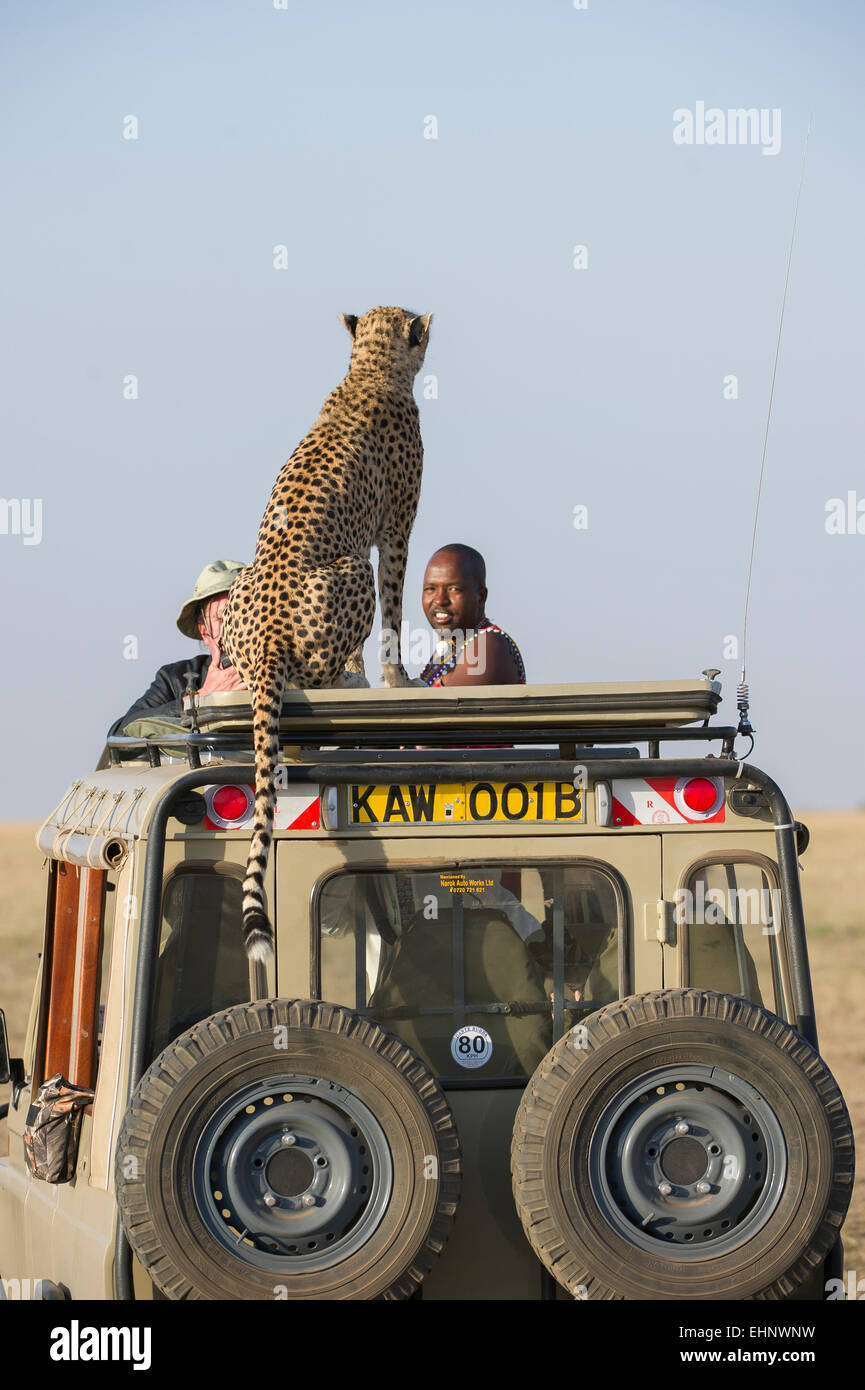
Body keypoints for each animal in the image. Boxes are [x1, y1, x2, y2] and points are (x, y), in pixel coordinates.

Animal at [220, 304, 432, 962]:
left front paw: (372, 675)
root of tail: (263, 641)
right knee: (322, 663)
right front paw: (396, 678)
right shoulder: (394, 527)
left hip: (242, 587)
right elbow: (393, 609)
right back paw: (348, 680)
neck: (372, 366)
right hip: (350, 567)